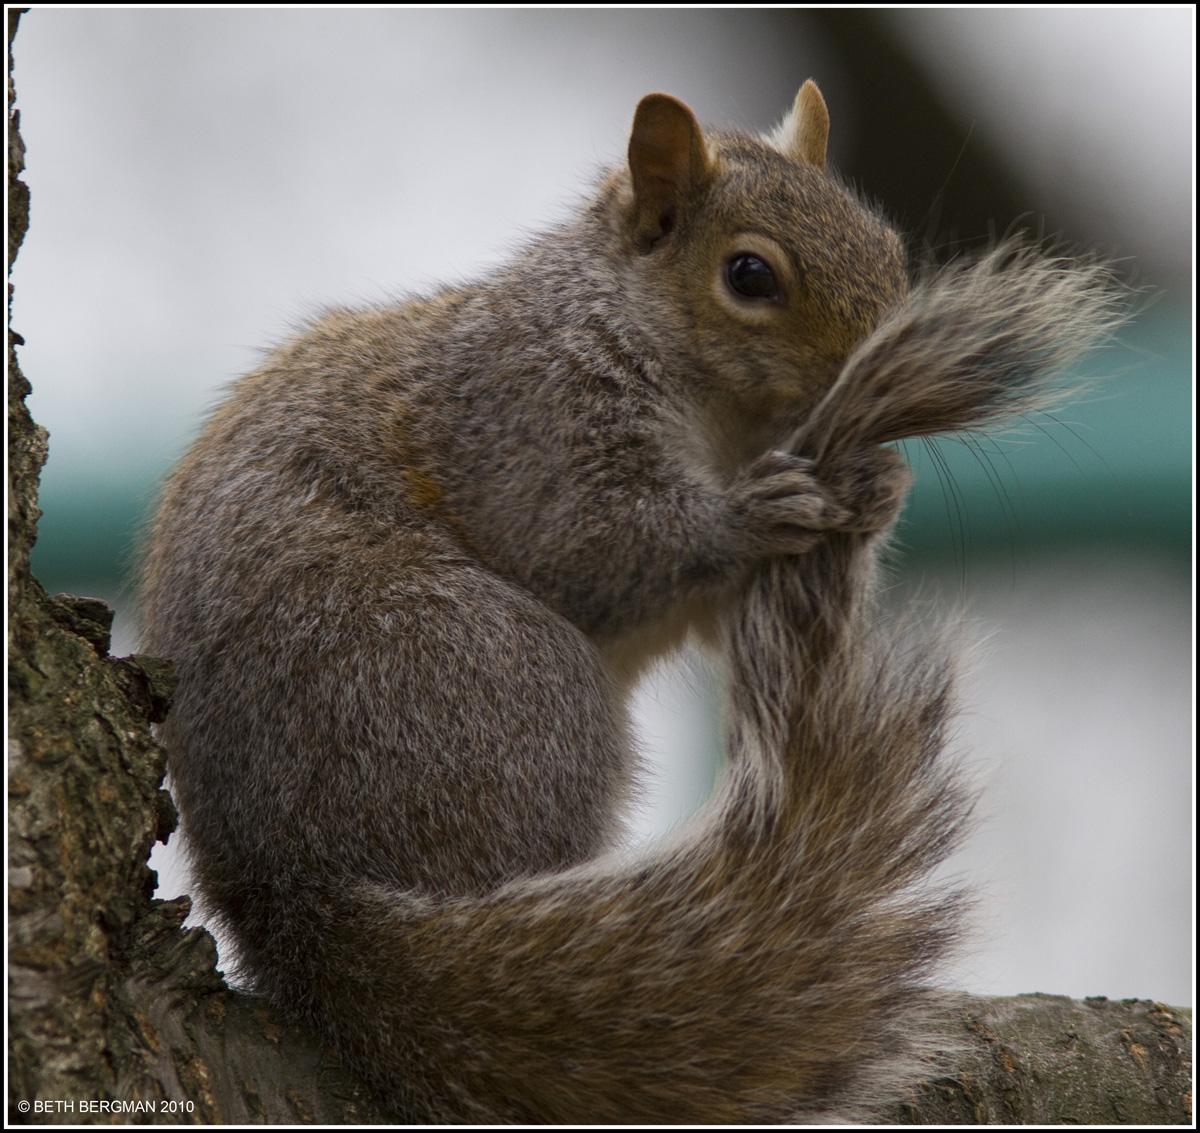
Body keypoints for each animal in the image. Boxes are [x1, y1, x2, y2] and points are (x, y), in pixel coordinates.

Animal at [141, 81, 1121, 1122]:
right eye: (749, 275)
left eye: (888, 247)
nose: (883, 366)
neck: (723, 415)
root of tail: (294, 893)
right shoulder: (530, 421)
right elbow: (594, 547)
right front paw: (749, 513)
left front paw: (879, 490)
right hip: (470, 675)